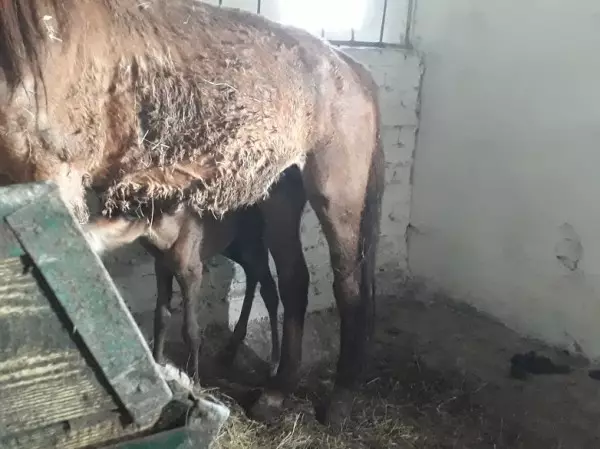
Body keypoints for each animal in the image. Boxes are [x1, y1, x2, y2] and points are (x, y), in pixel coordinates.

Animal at [0, 0, 384, 428]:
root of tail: (351, 66)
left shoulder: (53, 176)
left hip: (338, 195)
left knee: (349, 286)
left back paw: (340, 399)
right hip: (281, 193)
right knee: (294, 281)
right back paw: (276, 392)